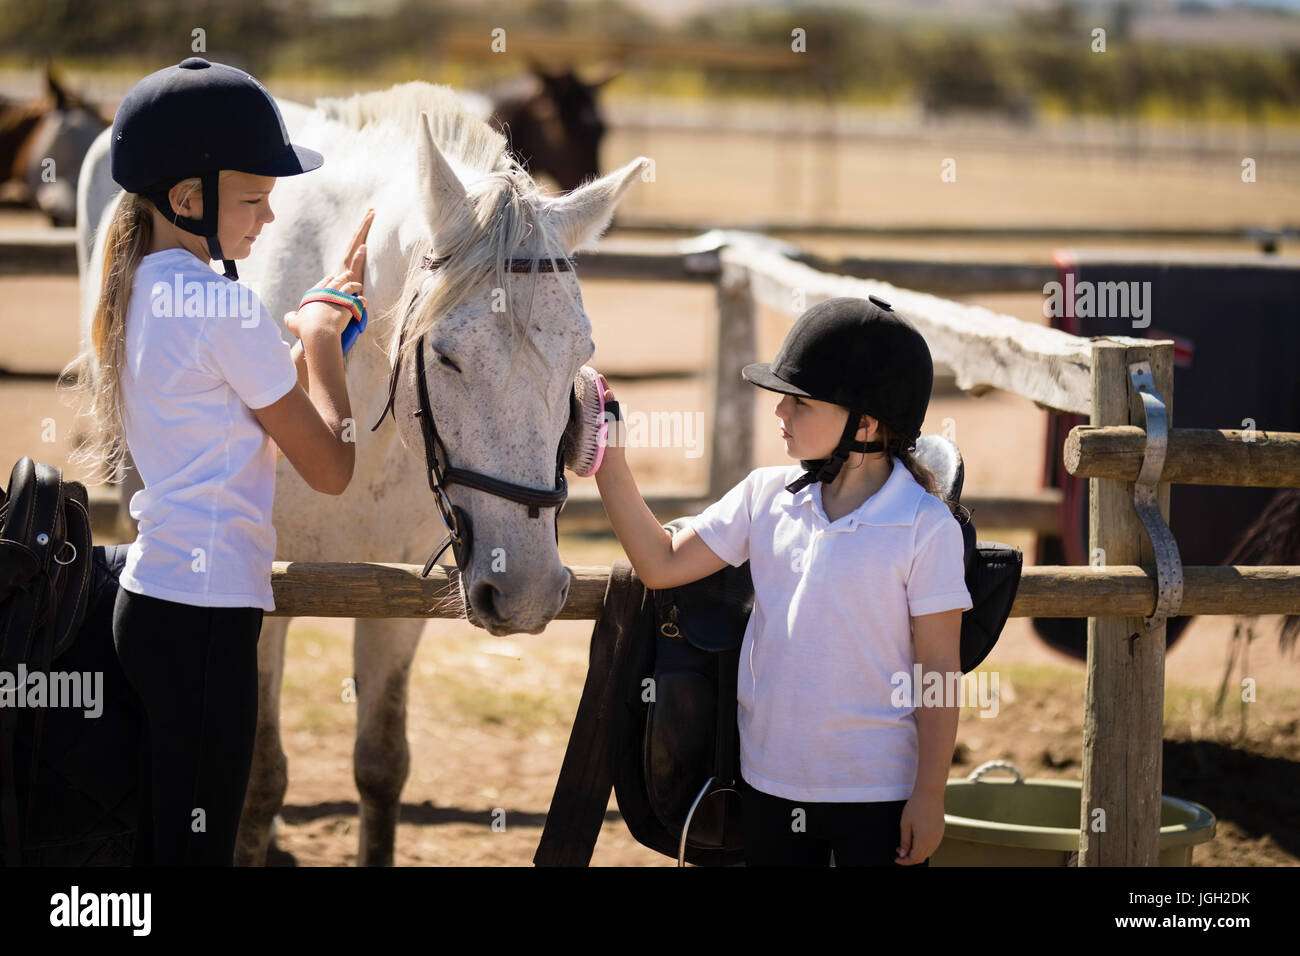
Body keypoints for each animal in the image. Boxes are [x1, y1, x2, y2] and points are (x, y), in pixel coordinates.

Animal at [75, 80, 648, 865]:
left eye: (580, 353)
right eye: (445, 355)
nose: (529, 591)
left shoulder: (405, 595)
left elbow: (381, 764)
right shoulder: (264, 597)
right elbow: (259, 777)